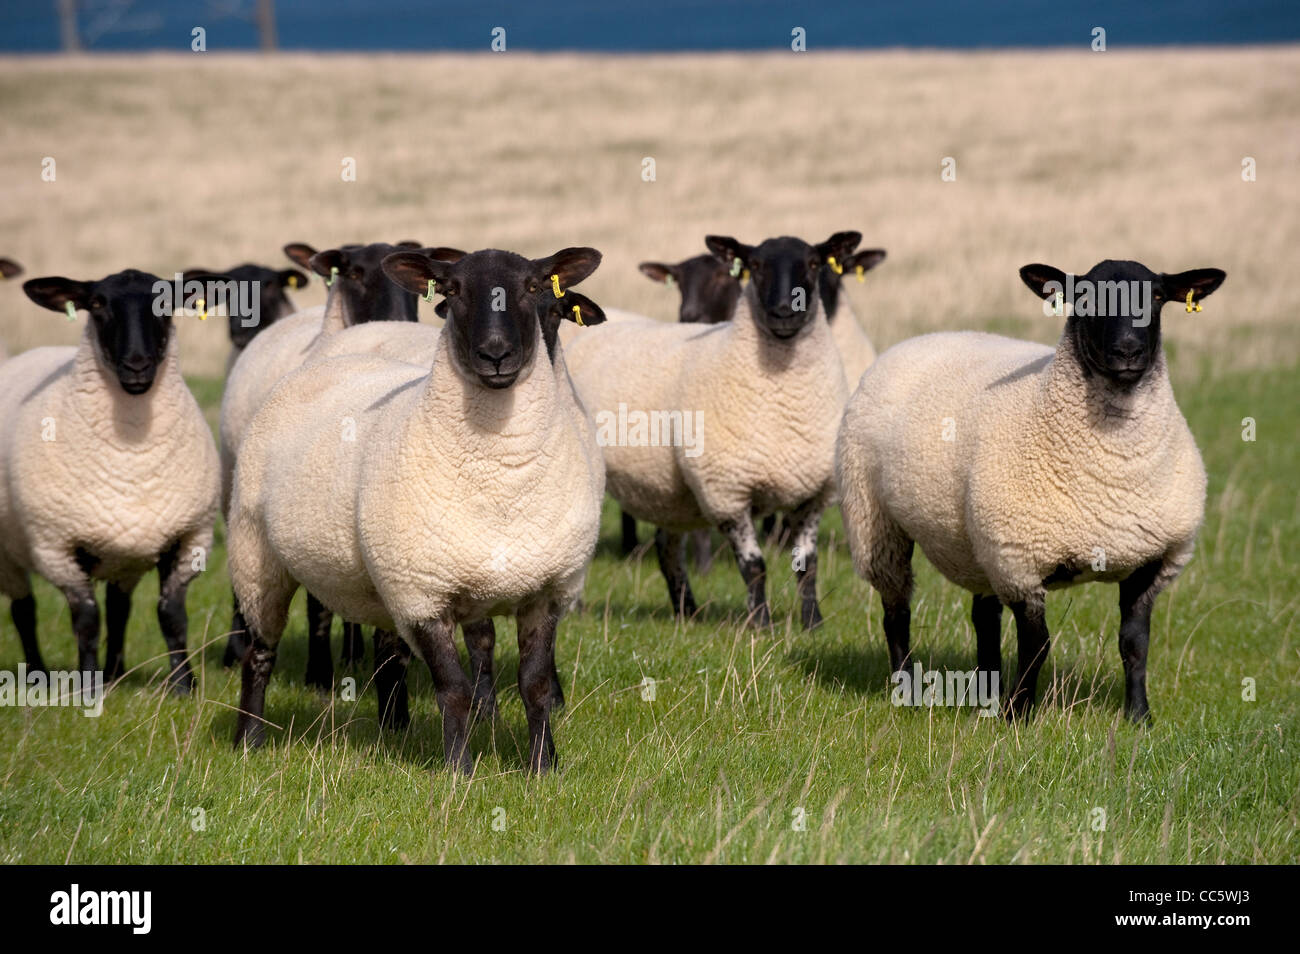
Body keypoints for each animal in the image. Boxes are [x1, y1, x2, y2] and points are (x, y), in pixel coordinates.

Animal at [0, 269, 219, 690]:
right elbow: (86, 620)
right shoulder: (57, 548)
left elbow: (172, 615)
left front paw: (183, 685)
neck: (131, 454)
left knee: (120, 607)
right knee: (24, 610)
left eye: (166, 303)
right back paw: (39, 674)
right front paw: (88, 687)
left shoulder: (189, 537)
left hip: (125, 555)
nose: (136, 366)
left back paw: (116, 671)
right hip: (10, 553)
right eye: (97, 304)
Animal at [227, 245, 606, 773]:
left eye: (534, 288)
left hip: (374, 579)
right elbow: (455, 690)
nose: (495, 354)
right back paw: (249, 739)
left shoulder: (547, 590)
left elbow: (535, 685)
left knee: (388, 656)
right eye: (452, 290)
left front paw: (543, 766)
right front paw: (459, 770)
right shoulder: (421, 593)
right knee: (259, 653)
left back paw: (393, 725)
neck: (502, 478)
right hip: (256, 555)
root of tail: (337, 355)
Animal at [564, 231, 863, 629]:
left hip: (668, 489)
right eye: (755, 266)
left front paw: (813, 624)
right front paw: (760, 625)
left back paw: (686, 611)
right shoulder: (727, 490)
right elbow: (754, 566)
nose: (785, 312)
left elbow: (807, 565)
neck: (785, 397)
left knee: (667, 547)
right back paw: (576, 609)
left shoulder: (815, 492)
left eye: (814, 264)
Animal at [835, 259, 1223, 720]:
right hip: (875, 519)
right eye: (1085, 297)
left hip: (977, 544)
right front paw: (1018, 714)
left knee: (983, 616)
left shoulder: (1152, 561)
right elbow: (1037, 646)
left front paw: (1139, 717)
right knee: (896, 612)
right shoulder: (1020, 561)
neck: (1114, 472)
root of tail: (915, 340)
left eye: (1159, 296)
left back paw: (986, 693)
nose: (1128, 352)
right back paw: (908, 690)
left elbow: (1135, 644)